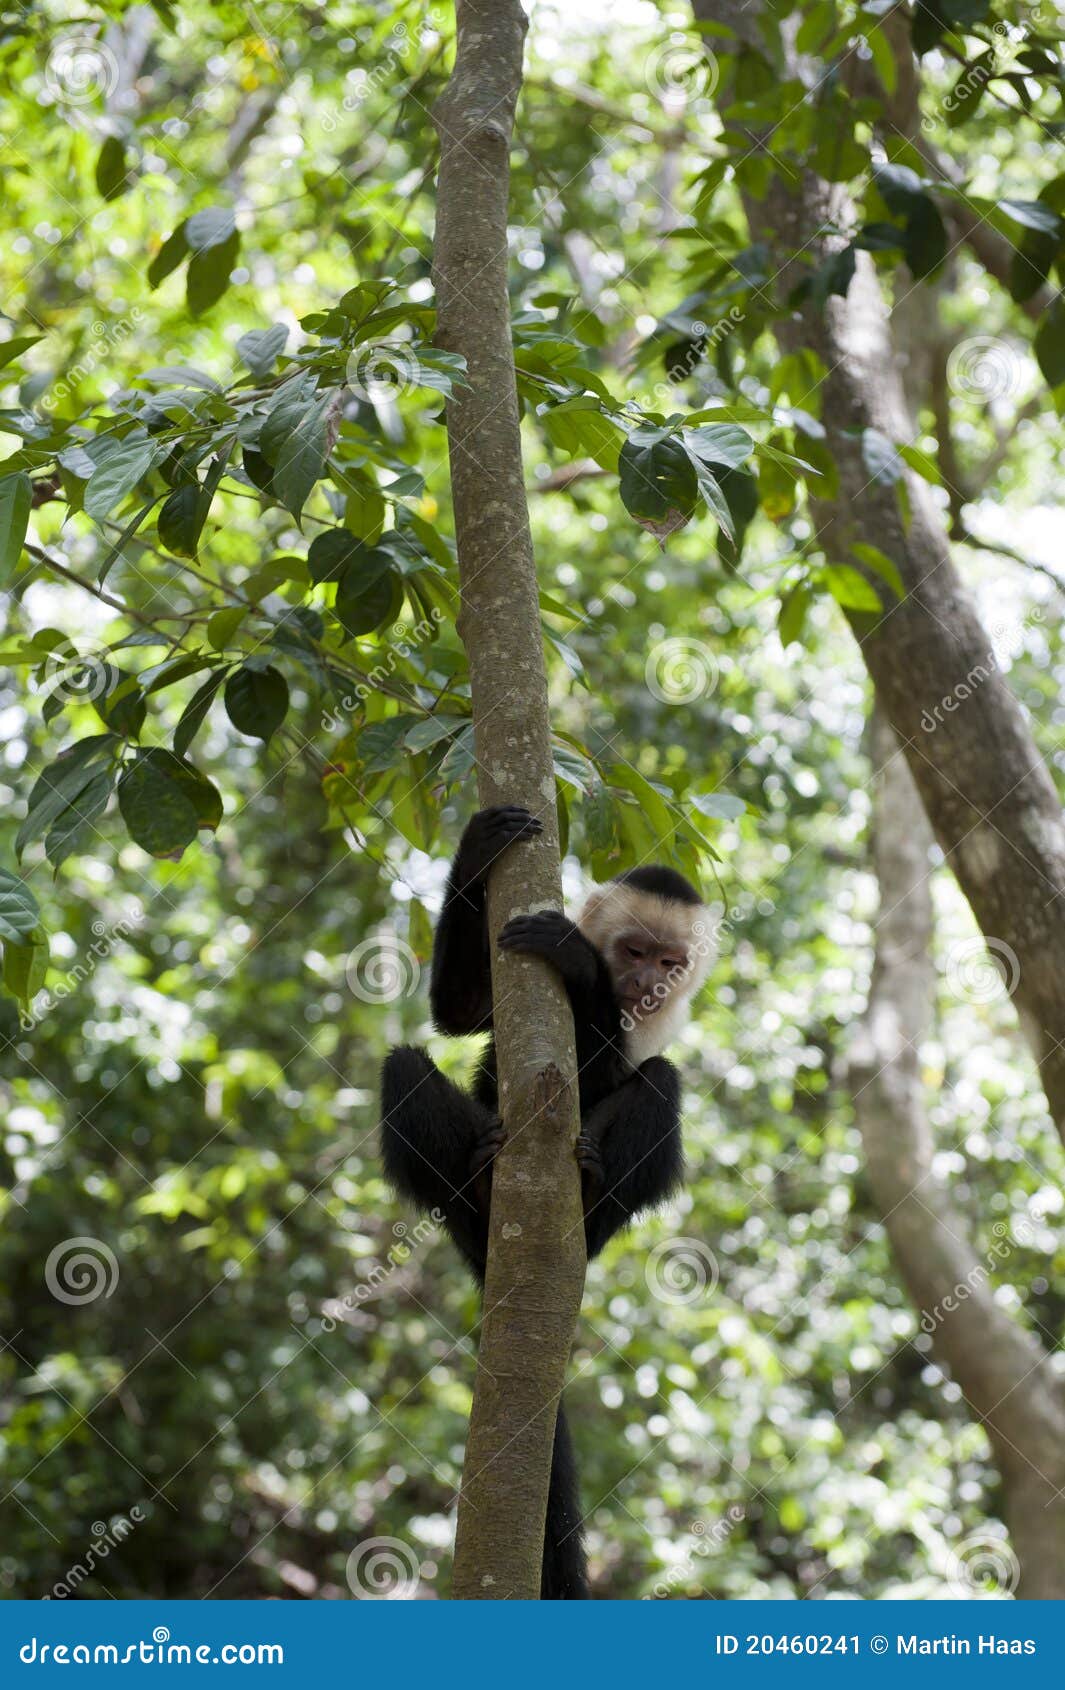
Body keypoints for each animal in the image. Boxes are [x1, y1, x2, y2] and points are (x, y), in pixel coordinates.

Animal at [379, 805, 710, 1599]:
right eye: (636, 950)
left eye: (670, 964)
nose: (647, 985)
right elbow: (458, 1014)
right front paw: (476, 853)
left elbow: (615, 1069)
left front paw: (579, 969)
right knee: (404, 1066)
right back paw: (476, 1180)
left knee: (662, 1080)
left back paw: (589, 1194)